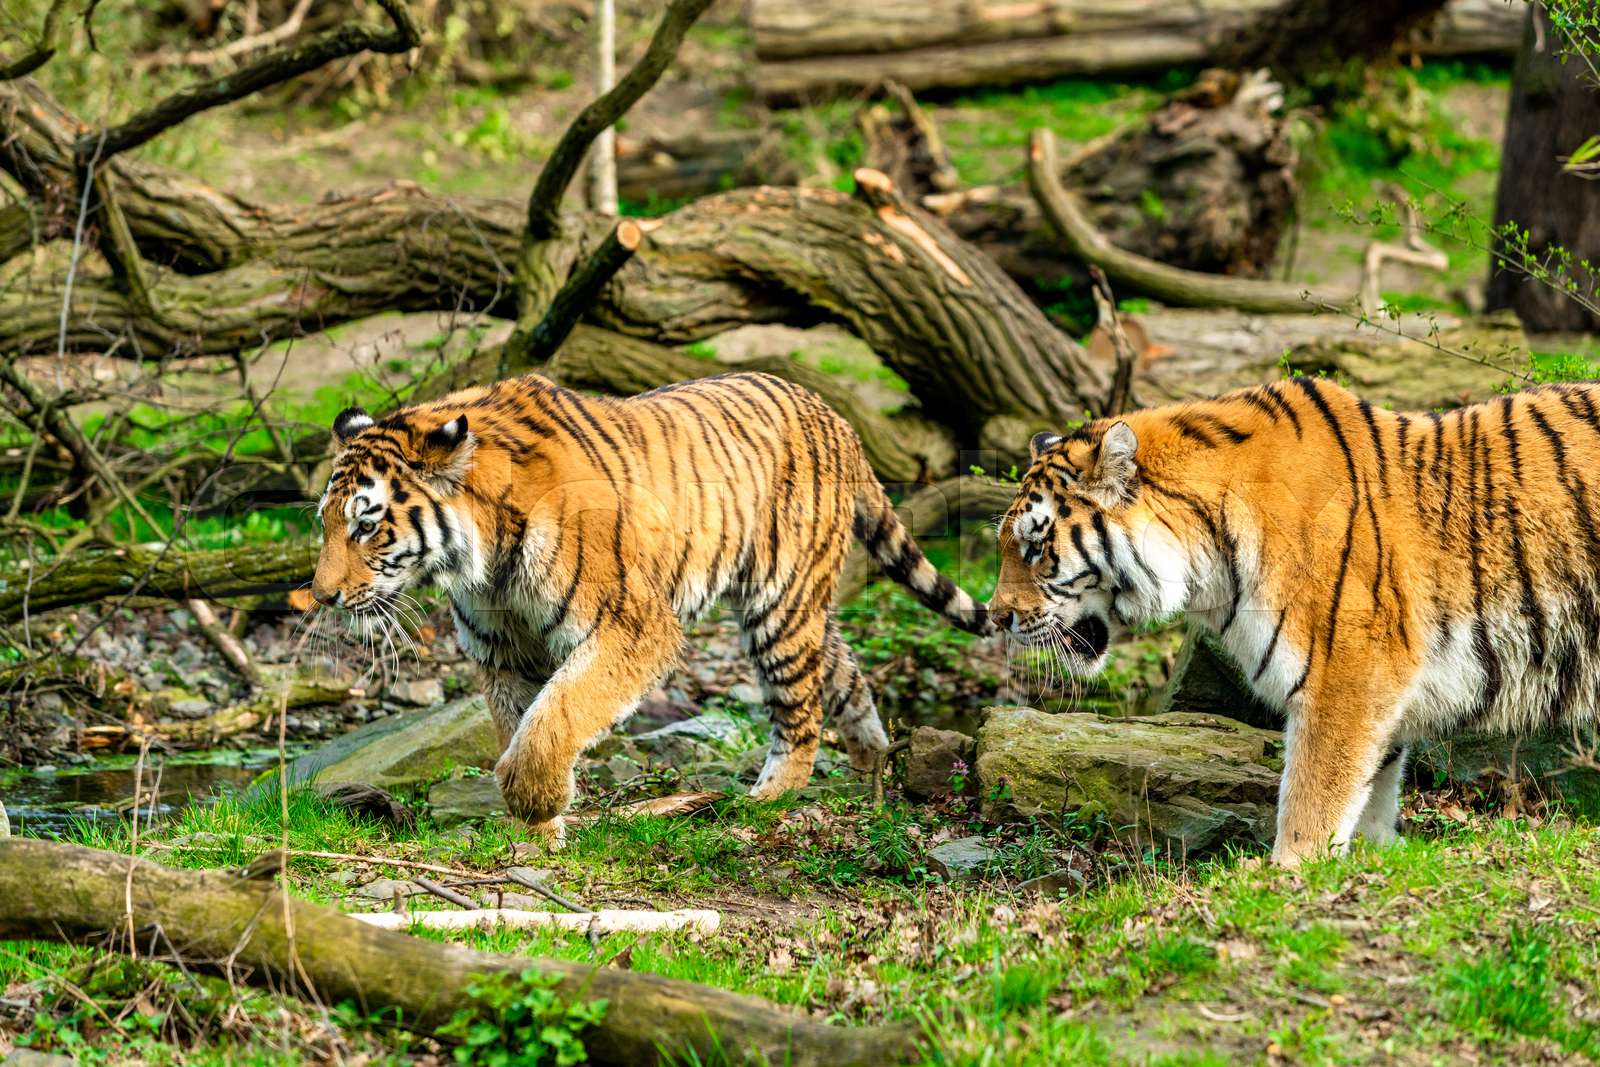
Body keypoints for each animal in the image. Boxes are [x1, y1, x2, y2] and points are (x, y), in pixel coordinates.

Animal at [310, 371, 990, 838]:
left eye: (366, 526)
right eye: (325, 523)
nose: (321, 595)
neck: (483, 561)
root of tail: (837, 418)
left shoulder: (630, 625)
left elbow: (557, 716)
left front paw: (538, 801)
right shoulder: (503, 650)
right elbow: (518, 724)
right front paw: (537, 833)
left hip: (779, 605)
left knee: (801, 714)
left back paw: (767, 800)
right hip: (801, 610)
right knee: (844, 675)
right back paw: (873, 774)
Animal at [986, 375, 1600, 866]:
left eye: (1036, 547)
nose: (996, 617)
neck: (1211, 562)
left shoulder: (1348, 670)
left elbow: (1315, 786)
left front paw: (1289, 870)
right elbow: (1375, 778)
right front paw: (1374, 856)